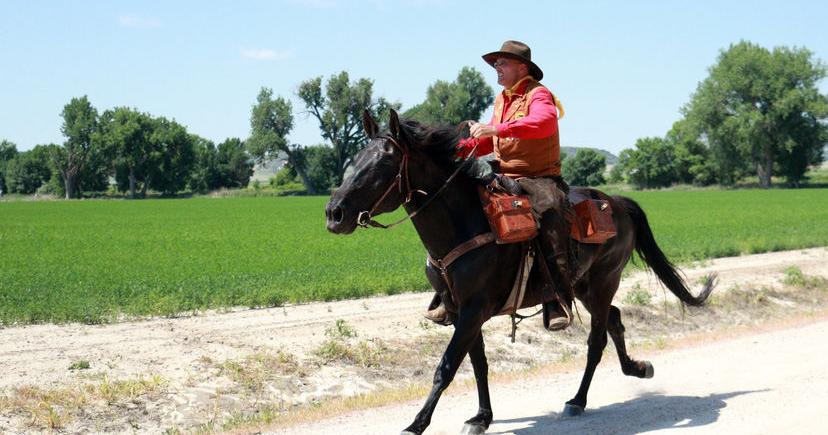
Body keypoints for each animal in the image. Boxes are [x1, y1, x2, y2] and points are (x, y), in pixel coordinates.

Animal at [325, 109, 716, 435]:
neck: (467, 223)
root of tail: (618, 202)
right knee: (615, 320)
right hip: (585, 287)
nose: (334, 213)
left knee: (596, 340)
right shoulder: (460, 311)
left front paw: (416, 424)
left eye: (383, 163)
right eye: (355, 160)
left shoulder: (474, 310)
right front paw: (482, 417)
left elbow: (447, 366)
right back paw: (637, 367)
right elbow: (478, 363)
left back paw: (578, 400)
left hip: (605, 281)